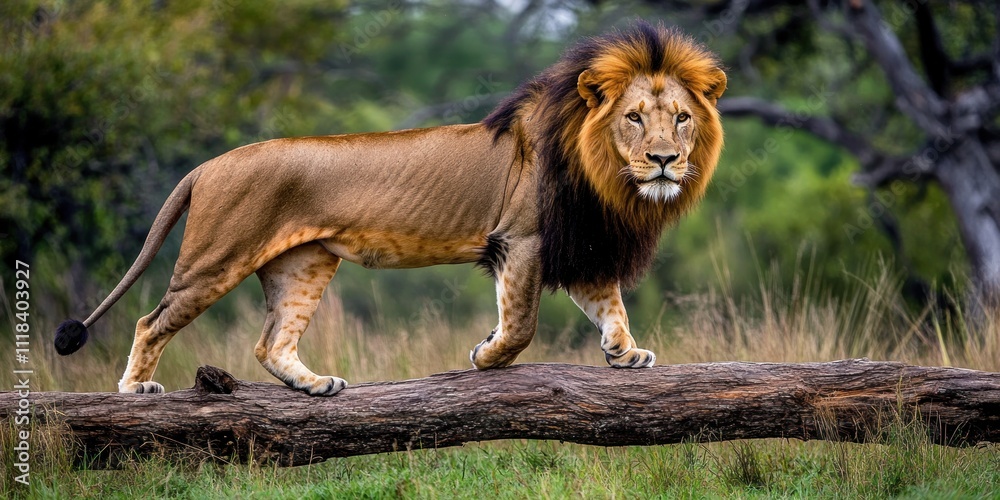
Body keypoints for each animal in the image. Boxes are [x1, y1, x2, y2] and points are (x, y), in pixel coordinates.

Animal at [54, 21, 726, 396]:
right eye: (633, 117)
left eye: (681, 118)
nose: (664, 160)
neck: (606, 178)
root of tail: (207, 165)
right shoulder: (524, 238)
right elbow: (522, 323)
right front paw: (486, 354)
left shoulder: (580, 242)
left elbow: (609, 304)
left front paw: (625, 352)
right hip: (215, 258)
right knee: (150, 322)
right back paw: (135, 389)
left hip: (304, 264)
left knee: (271, 343)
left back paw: (316, 386)